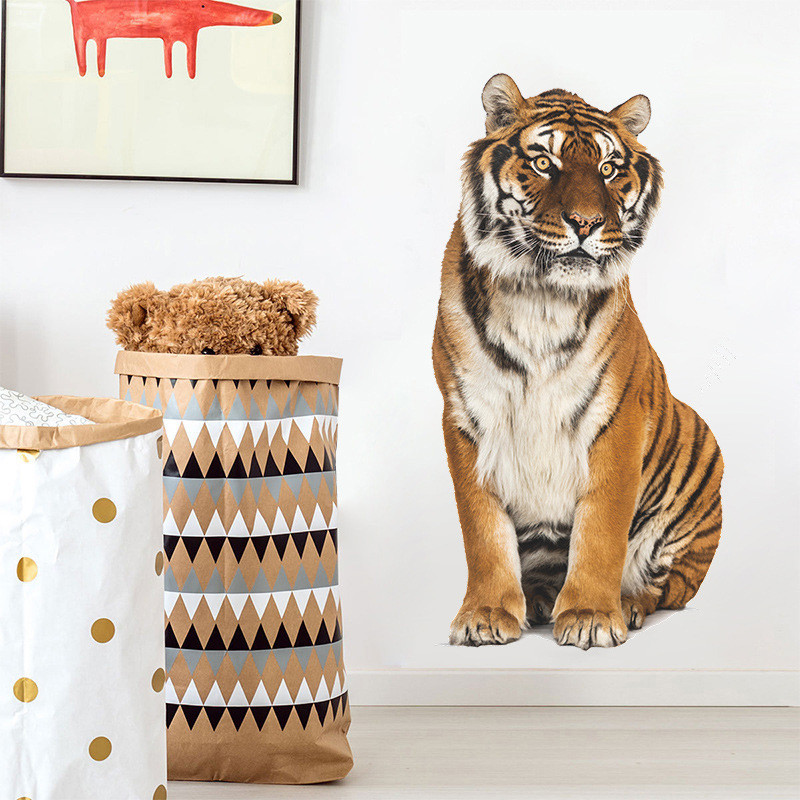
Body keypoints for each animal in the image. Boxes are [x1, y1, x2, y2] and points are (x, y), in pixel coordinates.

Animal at [432, 74, 723, 649]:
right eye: (545, 162)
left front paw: (590, 615)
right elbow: (482, 528)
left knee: (666, 588)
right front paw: (486, 615)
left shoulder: (617, 418)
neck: (540, 298)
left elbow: (602, 528)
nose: (586, 224)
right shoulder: (466, 415)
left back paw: (624, 604)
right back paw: (540, 598)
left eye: (609, 169)